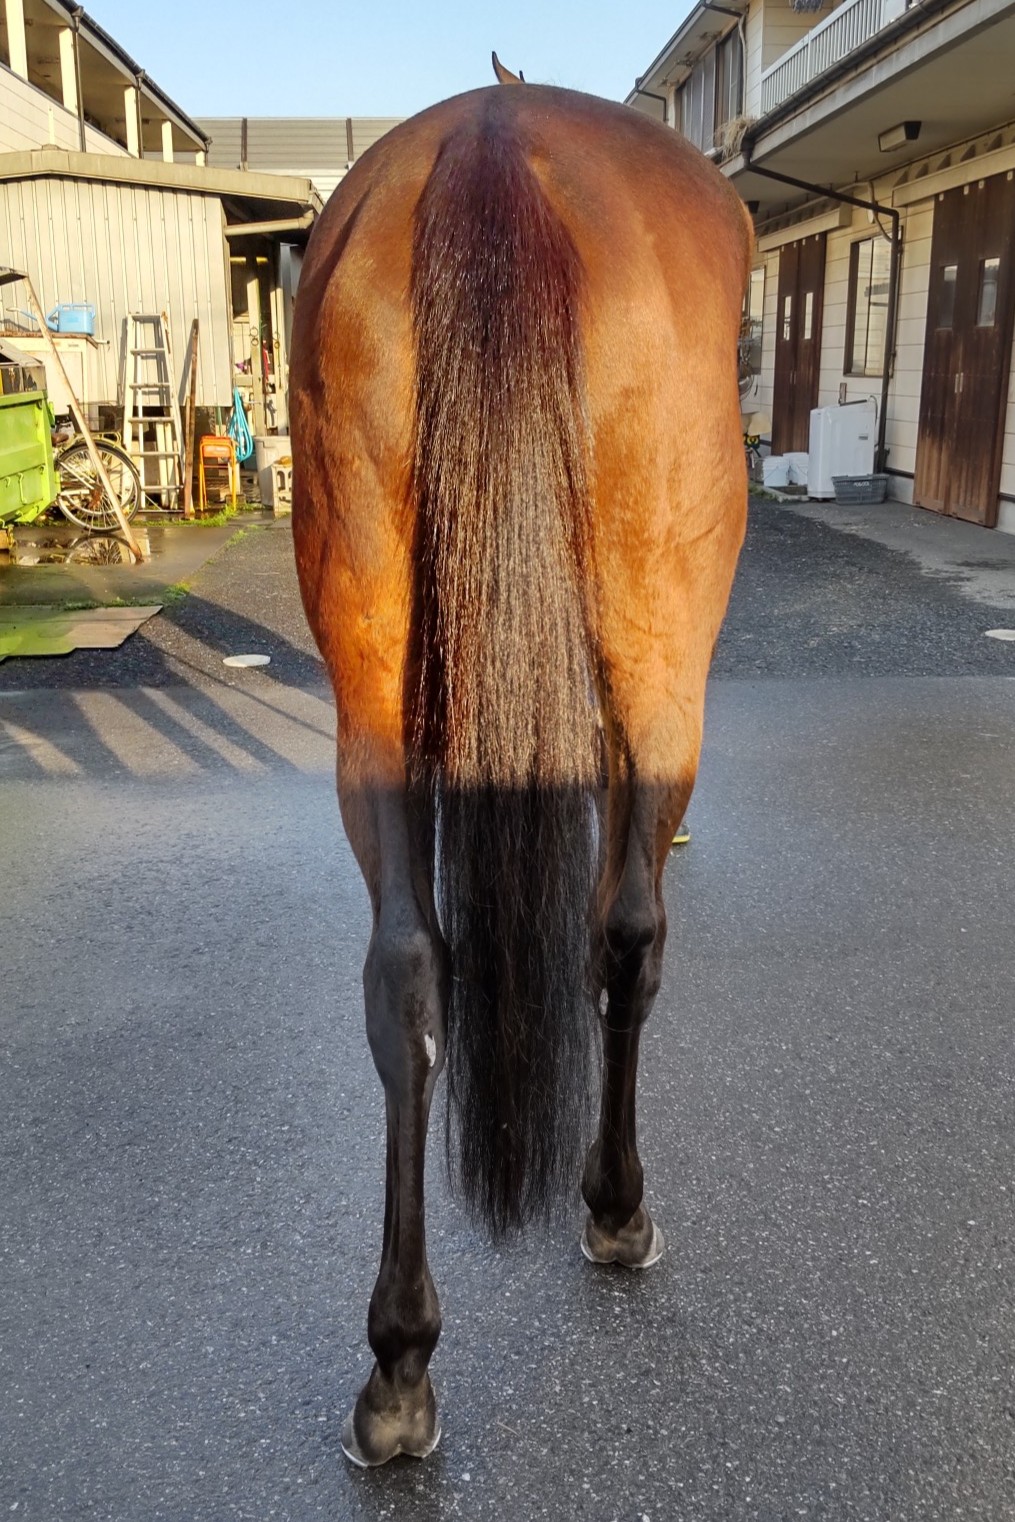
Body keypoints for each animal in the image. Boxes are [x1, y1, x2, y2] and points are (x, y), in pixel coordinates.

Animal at [289, 64, 752, 1467]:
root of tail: (496, 133)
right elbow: (625, 930)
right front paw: (612, 1207)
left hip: (371, 685)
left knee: (406, 973)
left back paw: (397, 1361)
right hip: (659, 655)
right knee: (625, 936)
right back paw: (611, 1204)